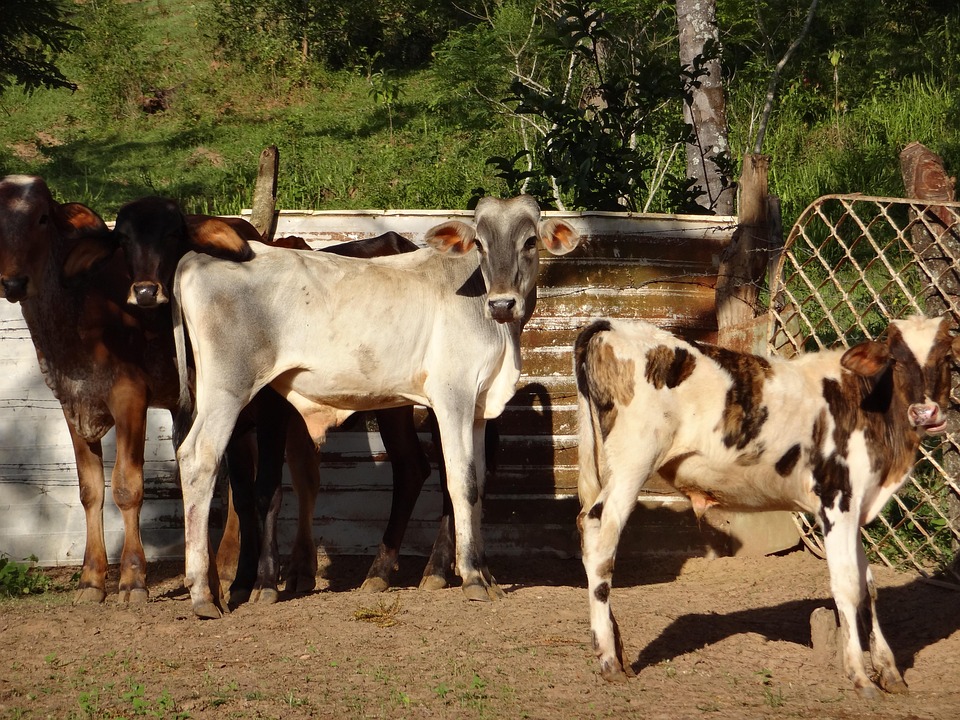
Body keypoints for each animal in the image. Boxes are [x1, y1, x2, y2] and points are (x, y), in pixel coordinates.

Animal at [0, 175, 248, 603]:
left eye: (43, 218)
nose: (13, 282)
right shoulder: (73, 404)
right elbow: (90, 490)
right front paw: (91, 579)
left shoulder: (130, 398)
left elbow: (127, 487)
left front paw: (132, 578)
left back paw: (231, 563)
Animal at [172, 194, 581, 618]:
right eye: (480, 245)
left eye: (530, 241)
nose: (502, 303)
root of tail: (196, 259)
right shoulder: (453, 397)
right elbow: (462, 483)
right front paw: (472, 577)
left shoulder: (479, 409)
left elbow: (480, 486)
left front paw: (488, 575)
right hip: (228, 389)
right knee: (198, 457)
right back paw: (203, 594)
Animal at [574, 315, 960, 698]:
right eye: (894, 359)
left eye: (947, 357)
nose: (925, 412)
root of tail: (613, 325)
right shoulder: (836, 500)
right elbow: (847, 585)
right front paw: (861, 677)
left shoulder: (855, 505)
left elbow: (869, 586)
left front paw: (890, 672)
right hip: (631, 465)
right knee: (601, 544)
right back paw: (609, 661)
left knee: (588, 528)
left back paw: (617, 654)